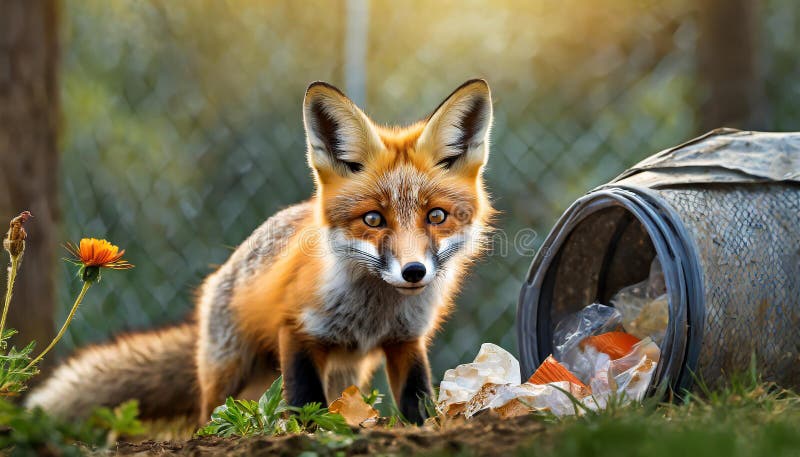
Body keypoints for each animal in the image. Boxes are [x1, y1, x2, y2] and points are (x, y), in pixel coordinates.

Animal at [26, 79, 495, 427]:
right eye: (373, 219)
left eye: (436, 216)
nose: (414, 272)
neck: (374, 312)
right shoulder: (299, 329)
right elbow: (305, 403)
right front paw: (308, 434)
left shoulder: (405, 340)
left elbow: (417, 400)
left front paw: (425, 428)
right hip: (230, 372)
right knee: (211, 415)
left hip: (345, 371)